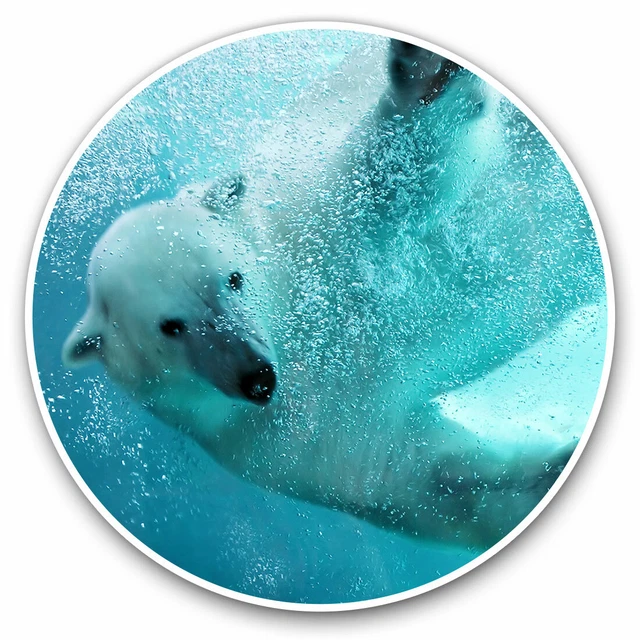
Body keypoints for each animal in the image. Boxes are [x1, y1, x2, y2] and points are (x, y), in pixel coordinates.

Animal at [62, 38, 603, 551]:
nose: (257, 378)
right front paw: (551, 468)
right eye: (170, 327)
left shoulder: (316, 218)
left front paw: (422, 72)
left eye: (233, 278)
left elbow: (400, 174)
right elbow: (414, 473)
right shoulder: (278, 440)